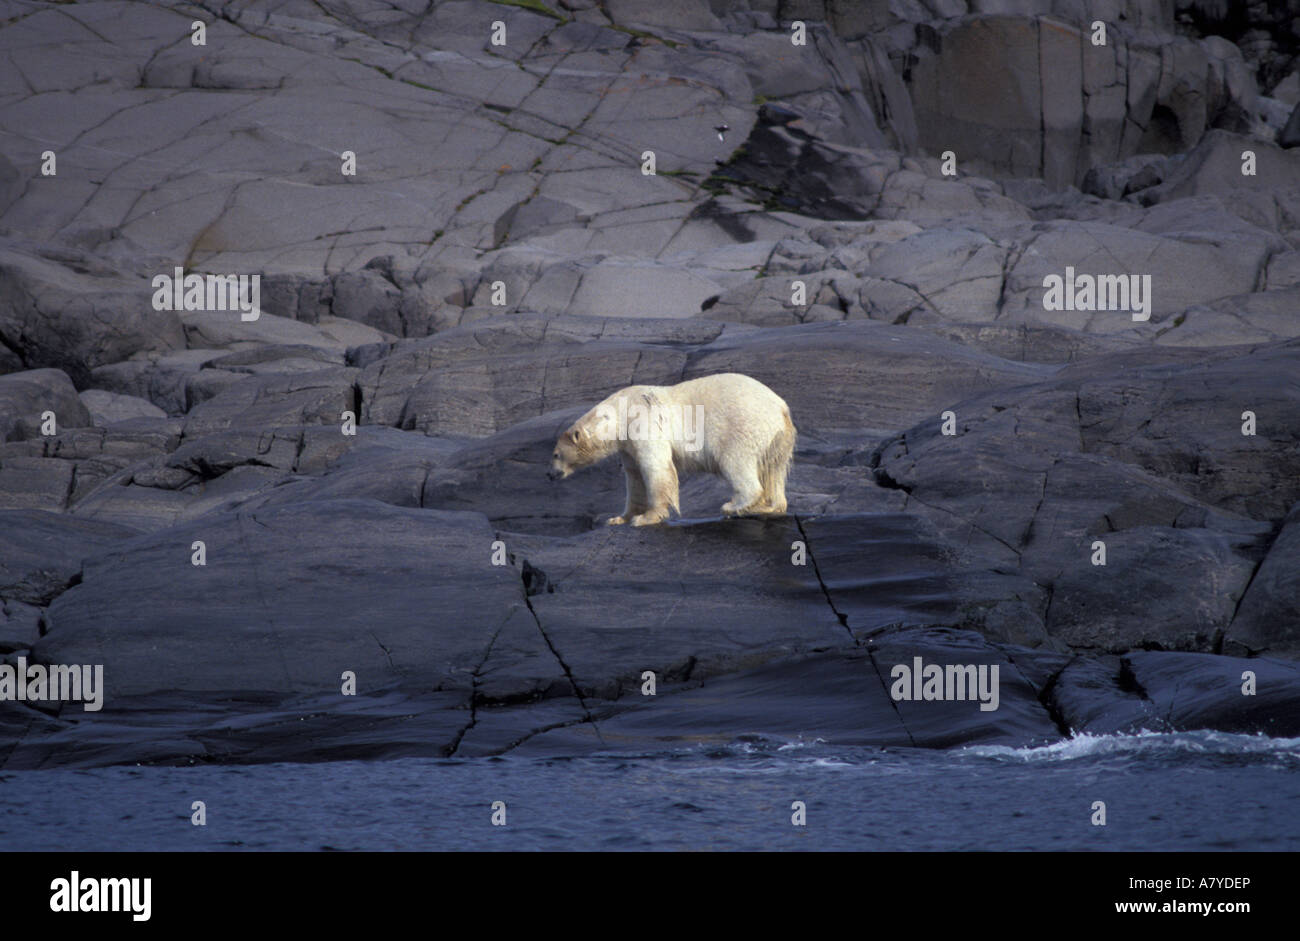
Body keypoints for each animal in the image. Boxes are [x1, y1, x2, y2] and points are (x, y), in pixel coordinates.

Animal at [547, 373, 796, 526]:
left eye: (556, 454)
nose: (549, 474)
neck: (619, 412)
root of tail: (781, 408)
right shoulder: (627, 445)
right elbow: (634, 476)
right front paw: (620, 518)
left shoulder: (642, 422)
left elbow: (655, 467)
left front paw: (646, 518)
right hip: (777, 437)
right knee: (773, 470)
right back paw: (769, 507)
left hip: (741, 425)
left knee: (736, 462)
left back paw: (734, 505)